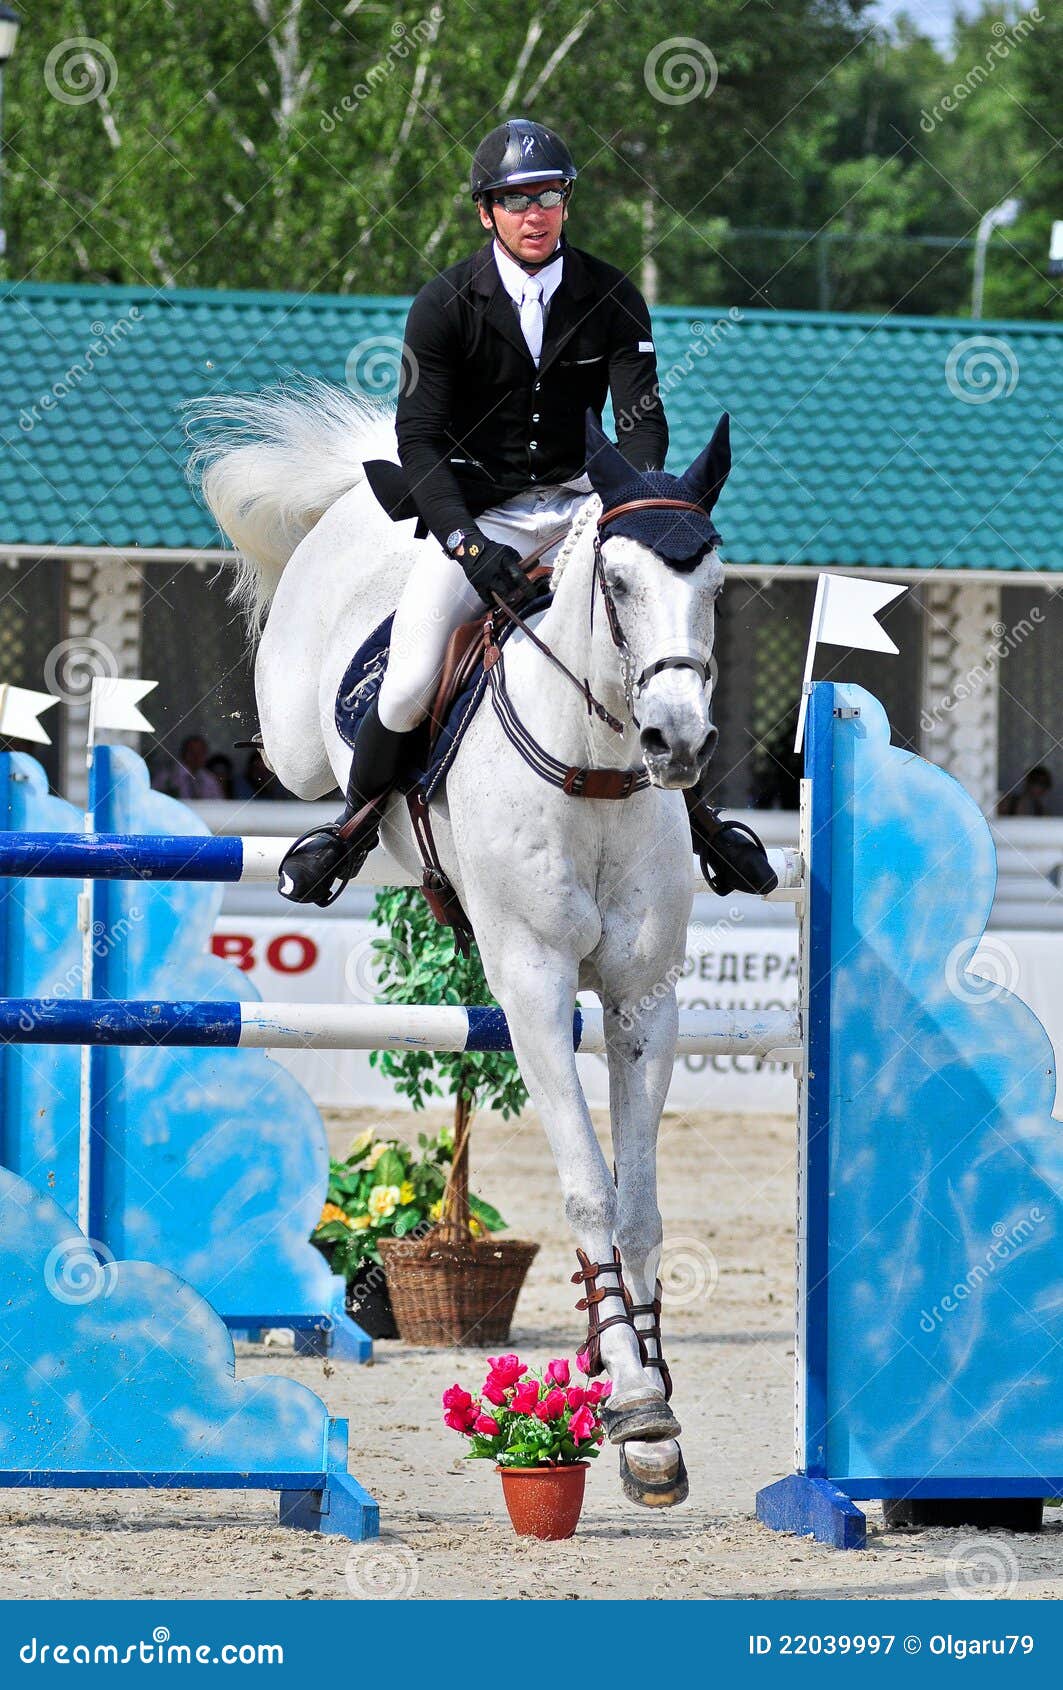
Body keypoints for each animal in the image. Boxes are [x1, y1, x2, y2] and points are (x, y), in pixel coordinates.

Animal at [187, 379, 729, 1508]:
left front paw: (647, 1419)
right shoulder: (531, 987)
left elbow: (638, 1203)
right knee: (317, 748)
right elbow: (587, 1185)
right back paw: (323, 839)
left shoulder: (642, 998)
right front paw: (633, 1399)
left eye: (713, 581)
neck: (597, 772)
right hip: (299, 730)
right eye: (617, 582)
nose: (678, 743)